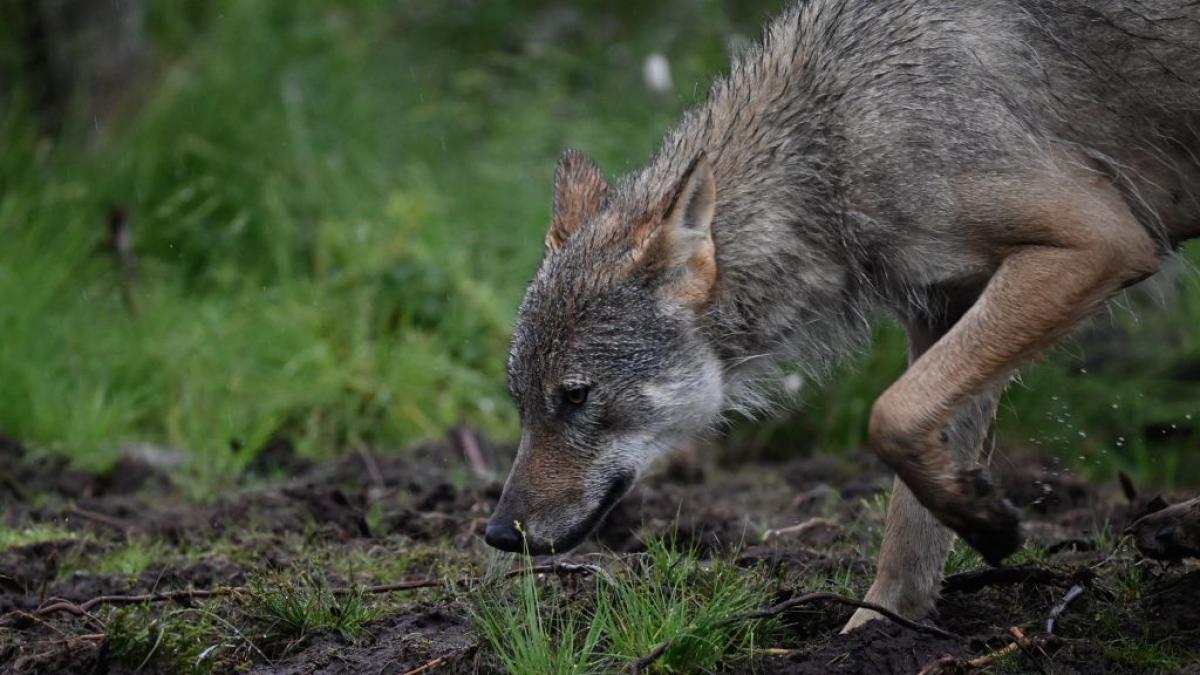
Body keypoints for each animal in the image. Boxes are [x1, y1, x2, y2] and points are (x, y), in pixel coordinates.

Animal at [485, 0, 1200, 631]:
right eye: (521, 402)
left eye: (575, 397)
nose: (496, 533)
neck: (835, 141)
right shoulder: (946, 310)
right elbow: (910, 518)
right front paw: (878, 629)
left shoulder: (1099, 245)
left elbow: (890, 415)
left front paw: (989, 525)